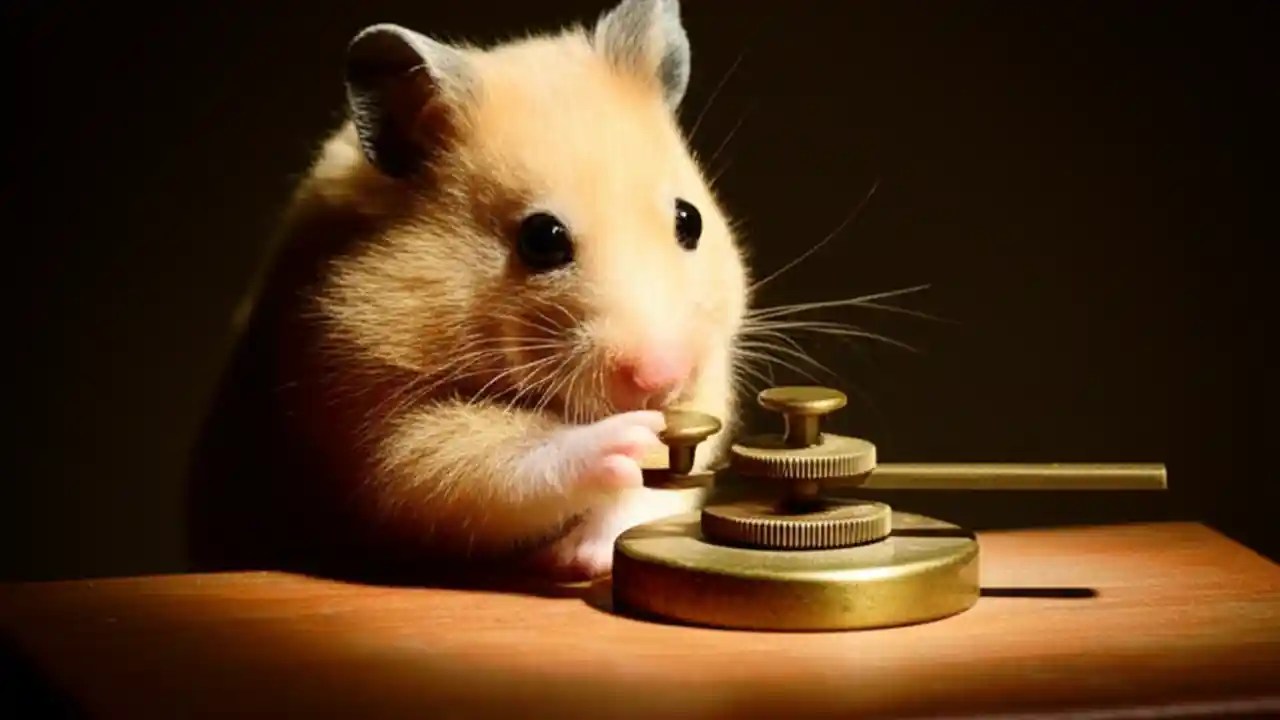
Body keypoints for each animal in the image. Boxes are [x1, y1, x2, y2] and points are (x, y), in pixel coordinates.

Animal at [186, 0, 751, 583]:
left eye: (690, 220)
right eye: (542, 240)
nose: (664, 378)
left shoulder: (710, 382)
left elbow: (657, 490)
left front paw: (586, 556)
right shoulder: (374, 423)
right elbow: (488, 462)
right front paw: (630, 438)